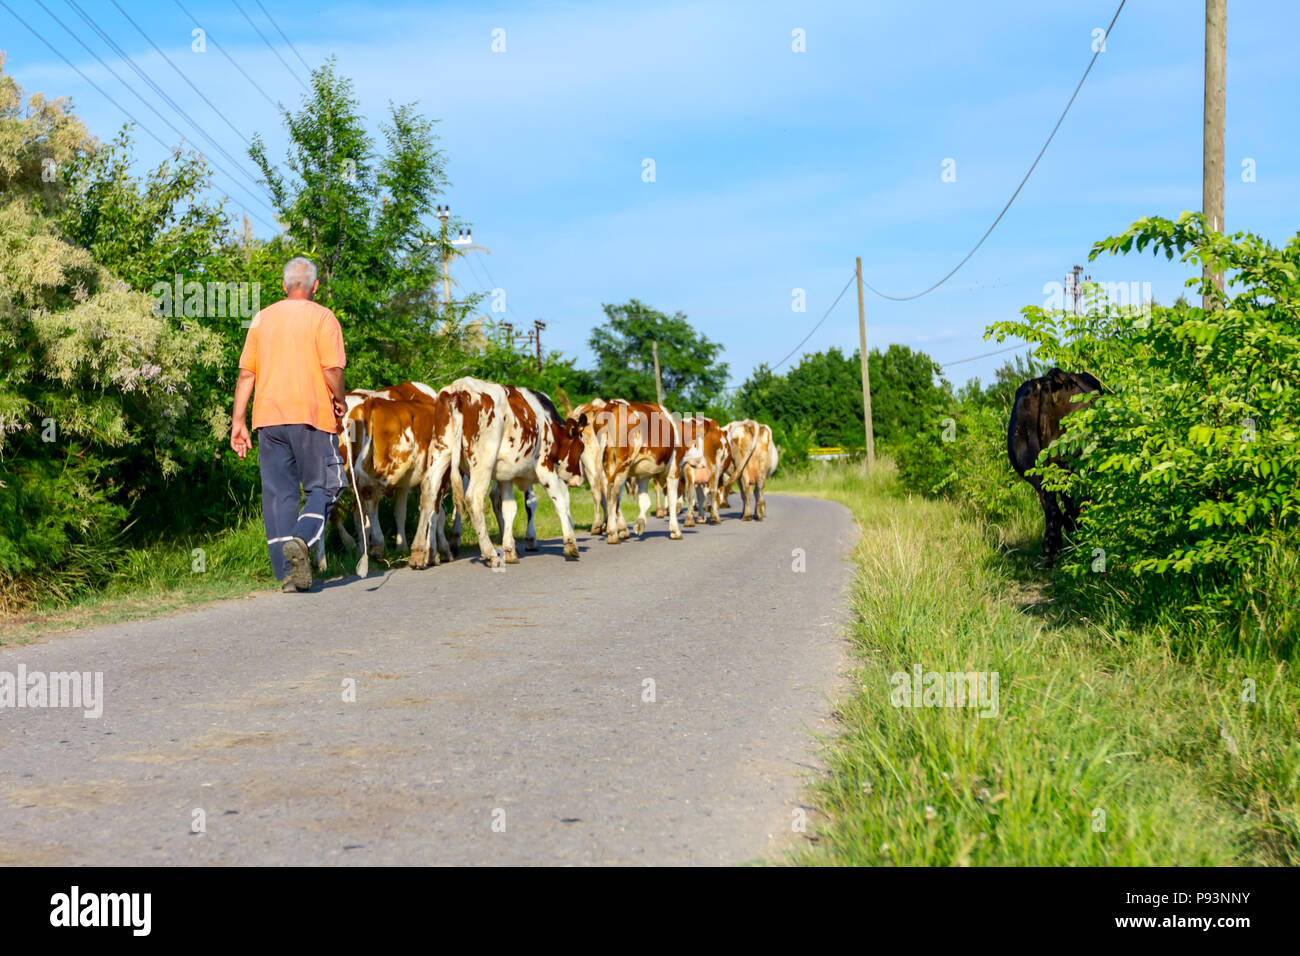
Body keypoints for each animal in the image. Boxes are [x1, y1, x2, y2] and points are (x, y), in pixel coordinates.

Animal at [412, 378, 587, 570]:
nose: (579, 479)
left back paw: (419, 553)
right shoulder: (544, 466)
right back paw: (490, 554)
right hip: (482, 463)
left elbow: (509, 509)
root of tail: (459, 389)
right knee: (473, 499)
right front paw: (570, 545)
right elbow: (560, 502)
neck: (546, 422)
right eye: (581, 447)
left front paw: (510, 551)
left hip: (440, 452)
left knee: (429, 495)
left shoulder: (506, 476)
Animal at [593, 401, 685, 543]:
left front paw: (640, 524)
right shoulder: (673, 469)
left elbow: (645, 500)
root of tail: (613, 404)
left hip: (608, 464)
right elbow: (672, 499)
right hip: (624, 462)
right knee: (613, 492)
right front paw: (675, 531)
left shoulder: (643, 474)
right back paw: (612, 533)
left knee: (609, 491)